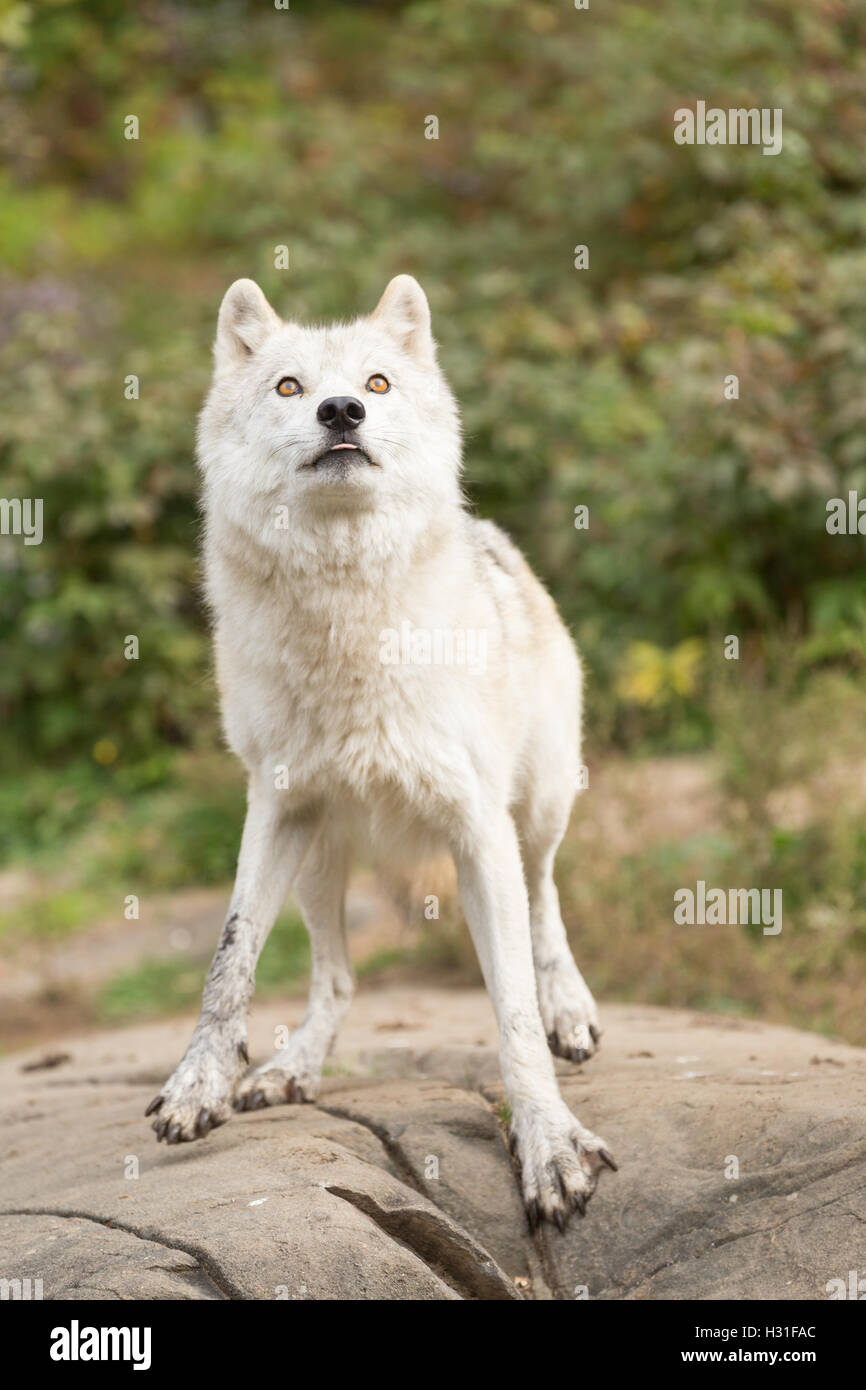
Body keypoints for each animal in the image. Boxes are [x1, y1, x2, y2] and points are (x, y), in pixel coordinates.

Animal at [146, 275, 616, 1230]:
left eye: (377, 382)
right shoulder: (270, 807)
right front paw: (199, 1085)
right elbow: (228, 962)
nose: (341, 410)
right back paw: (292, 1069)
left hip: (540, 810)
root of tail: (497, 540)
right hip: (318, 859)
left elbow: (512, 1010)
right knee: (338, 978)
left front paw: (550, 1146)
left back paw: (572, 1010)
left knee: (546, 901)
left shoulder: (479, 830)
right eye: (290, 386)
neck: (347, 621)